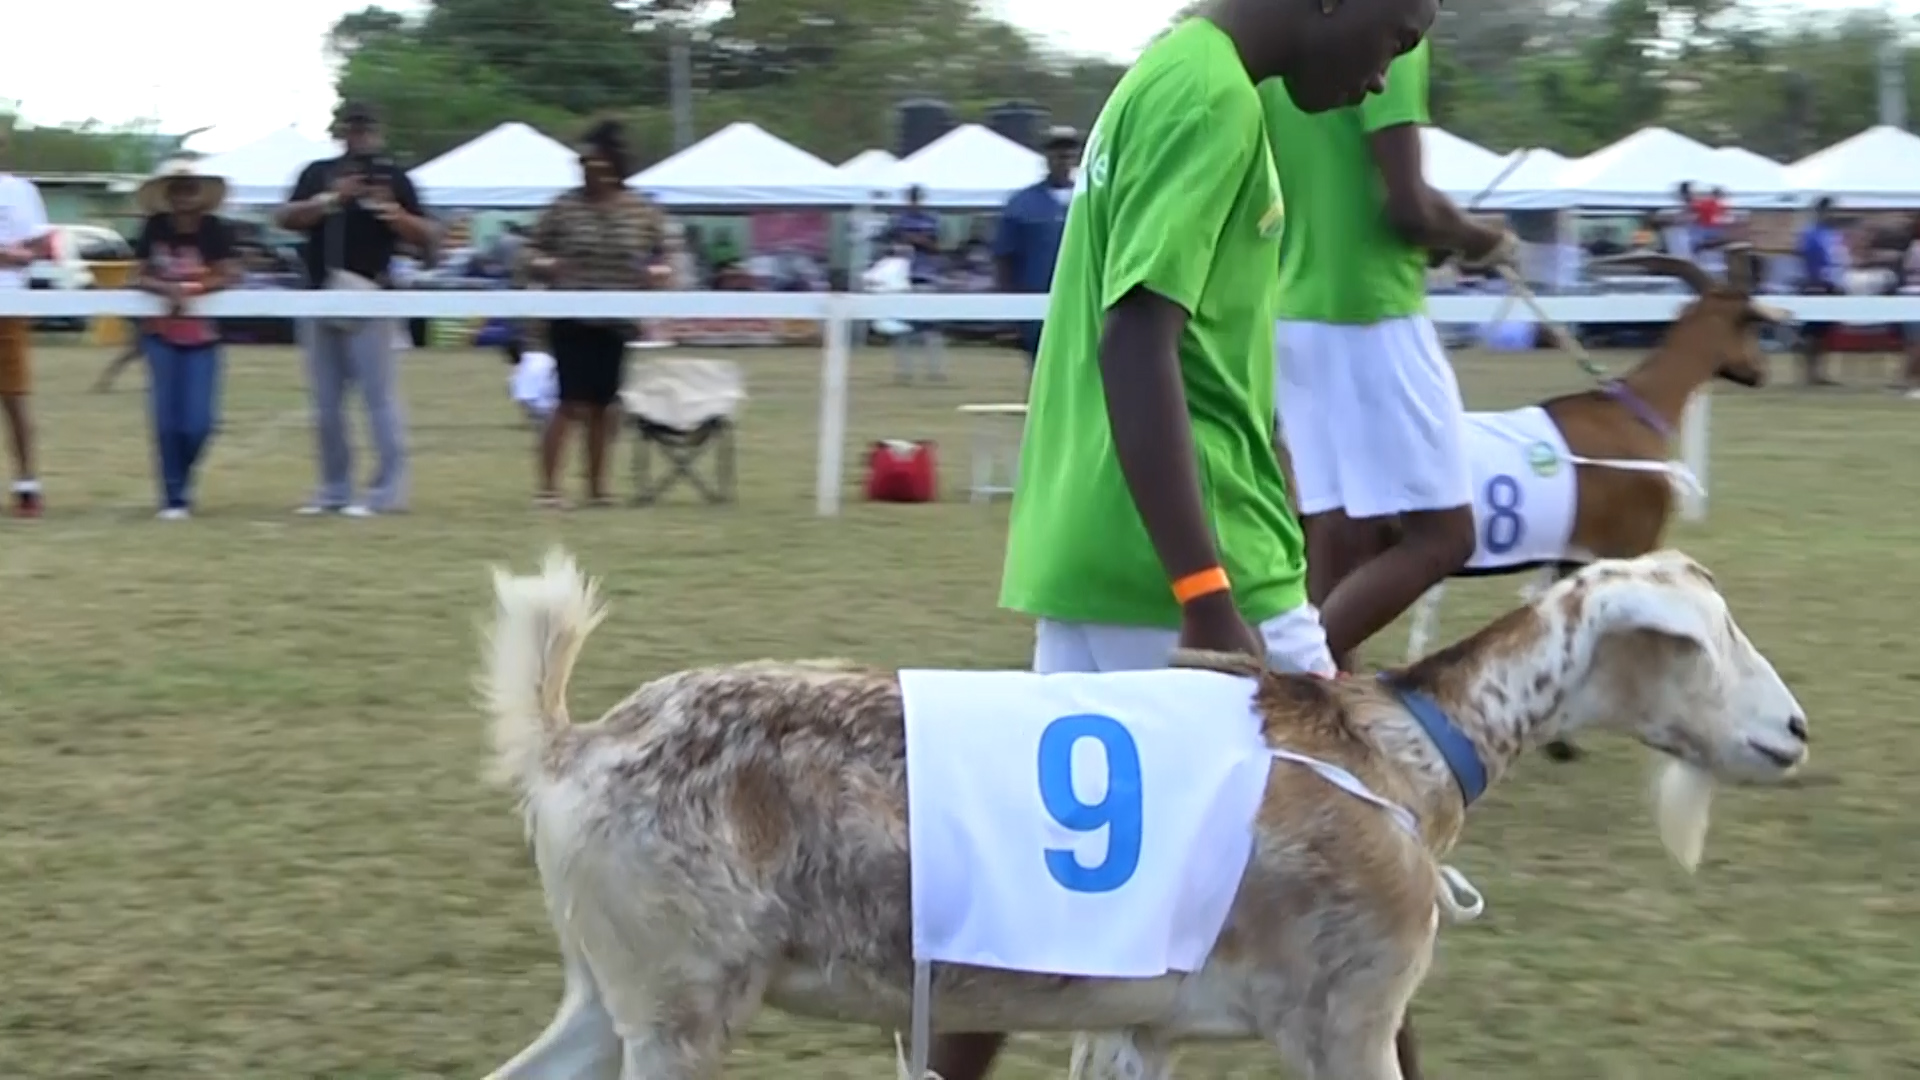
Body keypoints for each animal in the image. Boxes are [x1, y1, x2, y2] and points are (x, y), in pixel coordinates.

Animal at [478, 546, 1807, 1080]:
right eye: (1700, 640)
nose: (1792, 731)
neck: (1398, 753)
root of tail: (574, 743)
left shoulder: (1134, 1027)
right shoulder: (1353, 1019)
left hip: (613, 996)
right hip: (680, 1010)